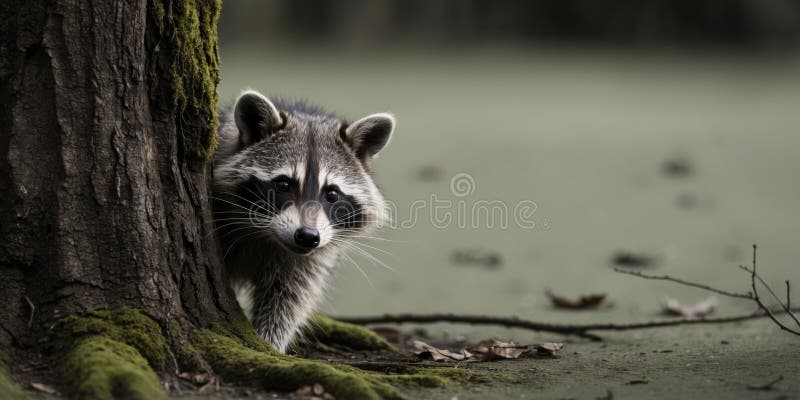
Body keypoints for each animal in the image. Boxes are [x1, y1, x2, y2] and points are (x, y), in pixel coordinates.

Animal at [212, 90, 394, 353]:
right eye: (283, 184)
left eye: (332, 194)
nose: (307, 236)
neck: (267, 235)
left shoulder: (312, 258)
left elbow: (289, 300)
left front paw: (270, 342)